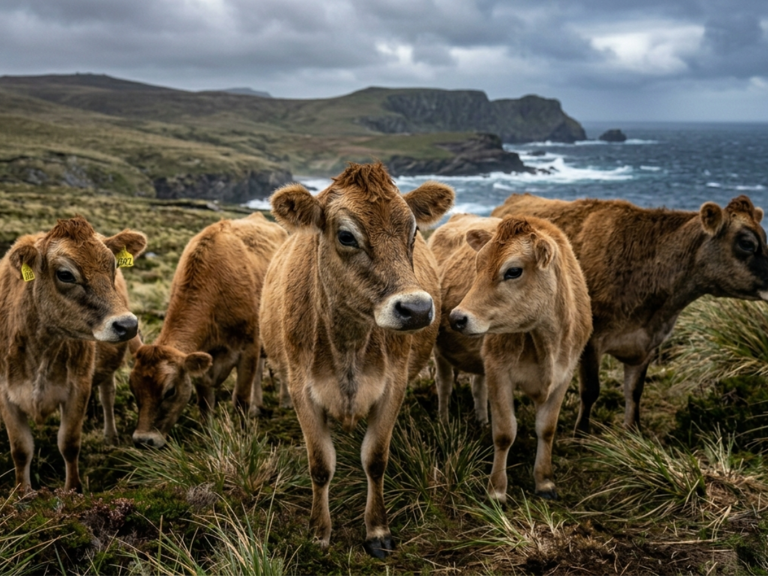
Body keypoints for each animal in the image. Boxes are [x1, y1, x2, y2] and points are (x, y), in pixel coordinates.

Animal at [0, 216, 146, 491]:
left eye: (113, 266)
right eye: (65, 274)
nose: (128, 325)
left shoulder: (79, 387)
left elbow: (69, 443)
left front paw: (73, 490)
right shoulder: (5, 394)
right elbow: (21, 450)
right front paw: (23, 493)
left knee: (107, 396)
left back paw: (110, 436)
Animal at [129, 212, 288, 448]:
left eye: (170, 391)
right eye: (133, 388)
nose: (143, 441)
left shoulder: (248, 347)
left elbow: (240, 398)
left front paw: (243, 438)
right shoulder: (204, 357)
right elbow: (205, 403)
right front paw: (209, 437)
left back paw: (285, 401)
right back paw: (257, 407)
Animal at [260, 162, 453, 558]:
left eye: (413, 231)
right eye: (347, 236)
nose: (416, 309)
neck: (347, 343)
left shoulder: (392, 387)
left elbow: (375, 460)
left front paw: (377, 531)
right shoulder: (302, 391)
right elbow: (320, 465)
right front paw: (319, 532)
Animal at [430, 213, 591, 501]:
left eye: (513, 271)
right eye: (478, 264)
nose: (457, 317)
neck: (545, 342)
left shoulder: (564, 375)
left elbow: (547, 429)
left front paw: (545, 481)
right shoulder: (499, 371)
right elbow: (505, 432)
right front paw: (496, 490)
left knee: (478, 384)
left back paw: (482, 420)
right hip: (441, 352)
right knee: (445, 385)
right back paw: (445, 422)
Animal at [492, 193, 768, 433]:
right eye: (747, 243)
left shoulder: (647, 344)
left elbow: (635, 391)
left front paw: (633, 430)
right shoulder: (590, 341)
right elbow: (591, 390)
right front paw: (581, 432)